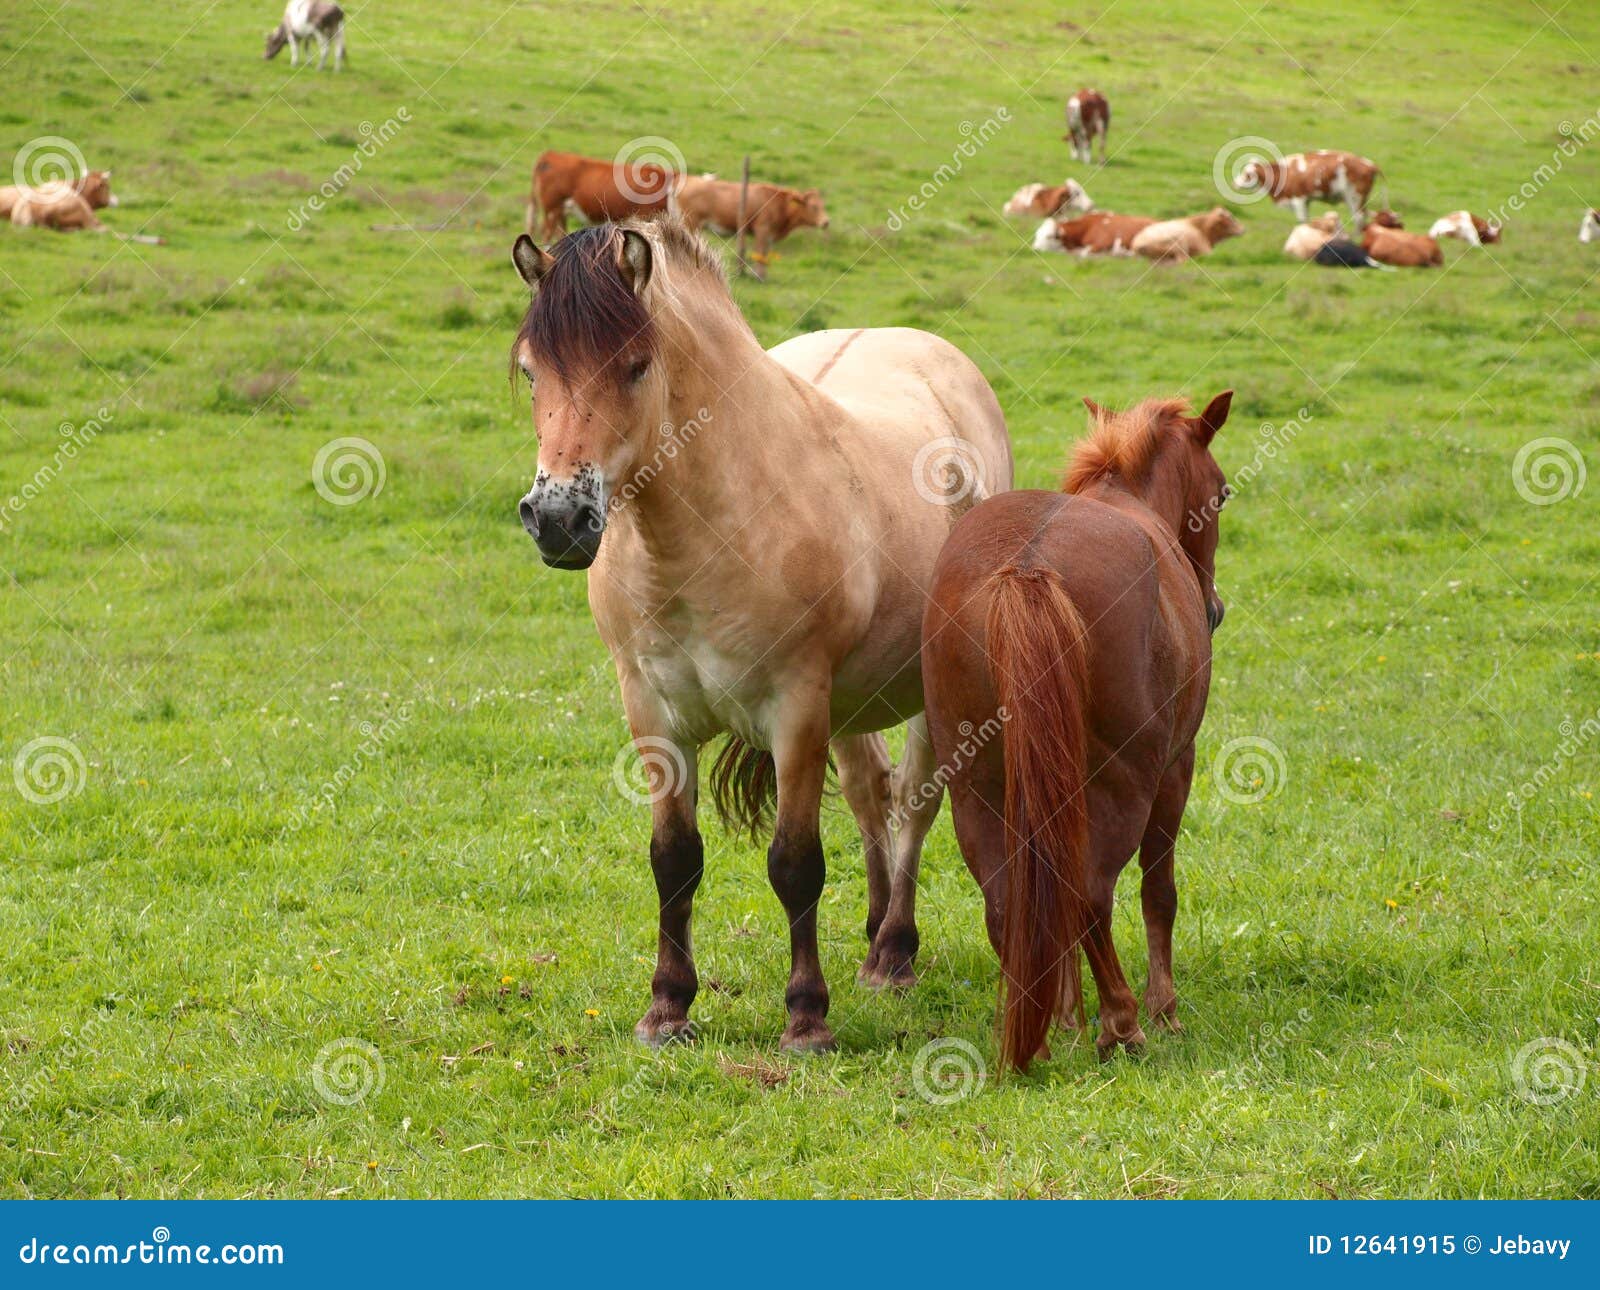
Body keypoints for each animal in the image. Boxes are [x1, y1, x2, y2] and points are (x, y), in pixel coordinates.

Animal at [507, 218, 1012, 1052]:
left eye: (637, 367)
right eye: (530, 373)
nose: (557, 519)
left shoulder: (796, 708)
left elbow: (795, 862)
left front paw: (806, 1017)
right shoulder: (652, 711)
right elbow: (674, 860)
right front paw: (667, 1007)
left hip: (926, 690)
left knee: (913, 800)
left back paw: (895, 951)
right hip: (852, 705)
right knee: (871, 795)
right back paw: (874, 937)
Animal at [920, 391, 1233, 1071]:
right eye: (1223, 494)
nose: (1214, 609)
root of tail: (1025, 567)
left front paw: (1065, 1013)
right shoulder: (1177, 768)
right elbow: (1159, 891)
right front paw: (1162, 1008)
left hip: (979, 786)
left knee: (1009, 900)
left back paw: (1035, 1028)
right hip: (1124, 783)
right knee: (1090, 893)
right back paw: (1123, 1020)